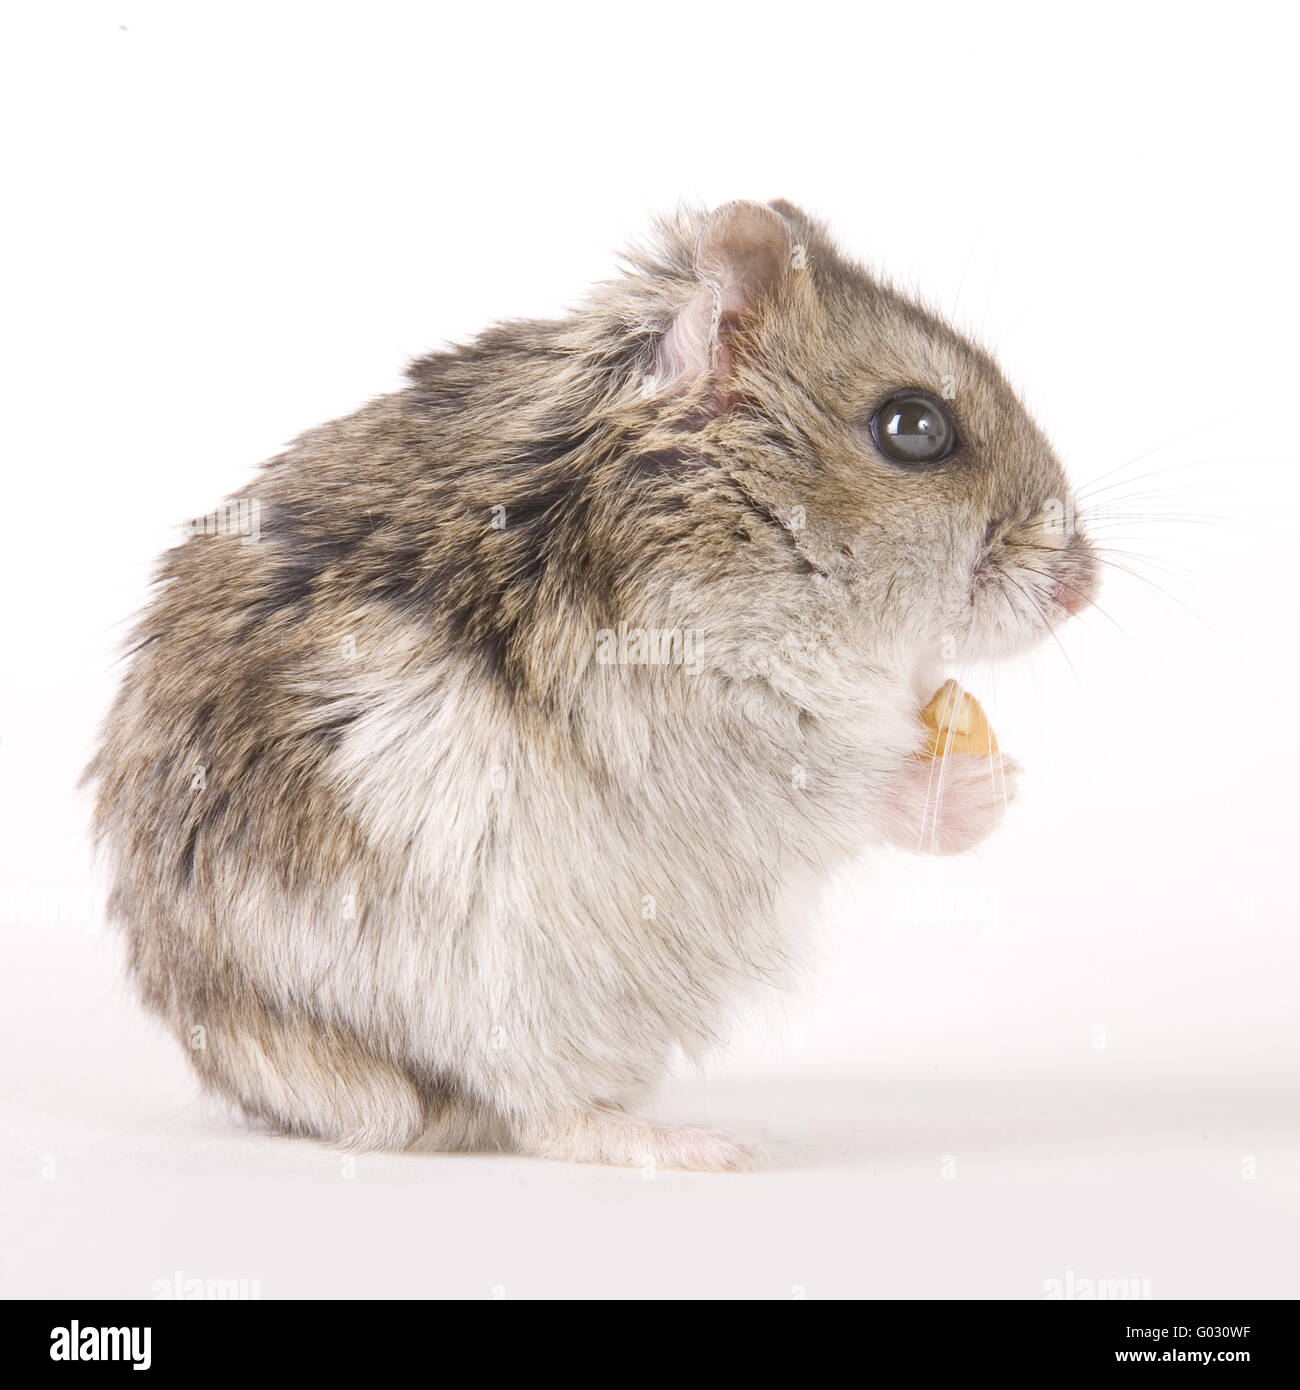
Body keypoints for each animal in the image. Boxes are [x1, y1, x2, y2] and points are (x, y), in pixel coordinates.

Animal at [88, 201, 1097, 1170]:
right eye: (915, 427)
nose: (1083, 590)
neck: (730, 513)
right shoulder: (717, 725)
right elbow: (848, 780)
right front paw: (987, 789)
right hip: (490, 986)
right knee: (541, 1115)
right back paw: (708, 1149)